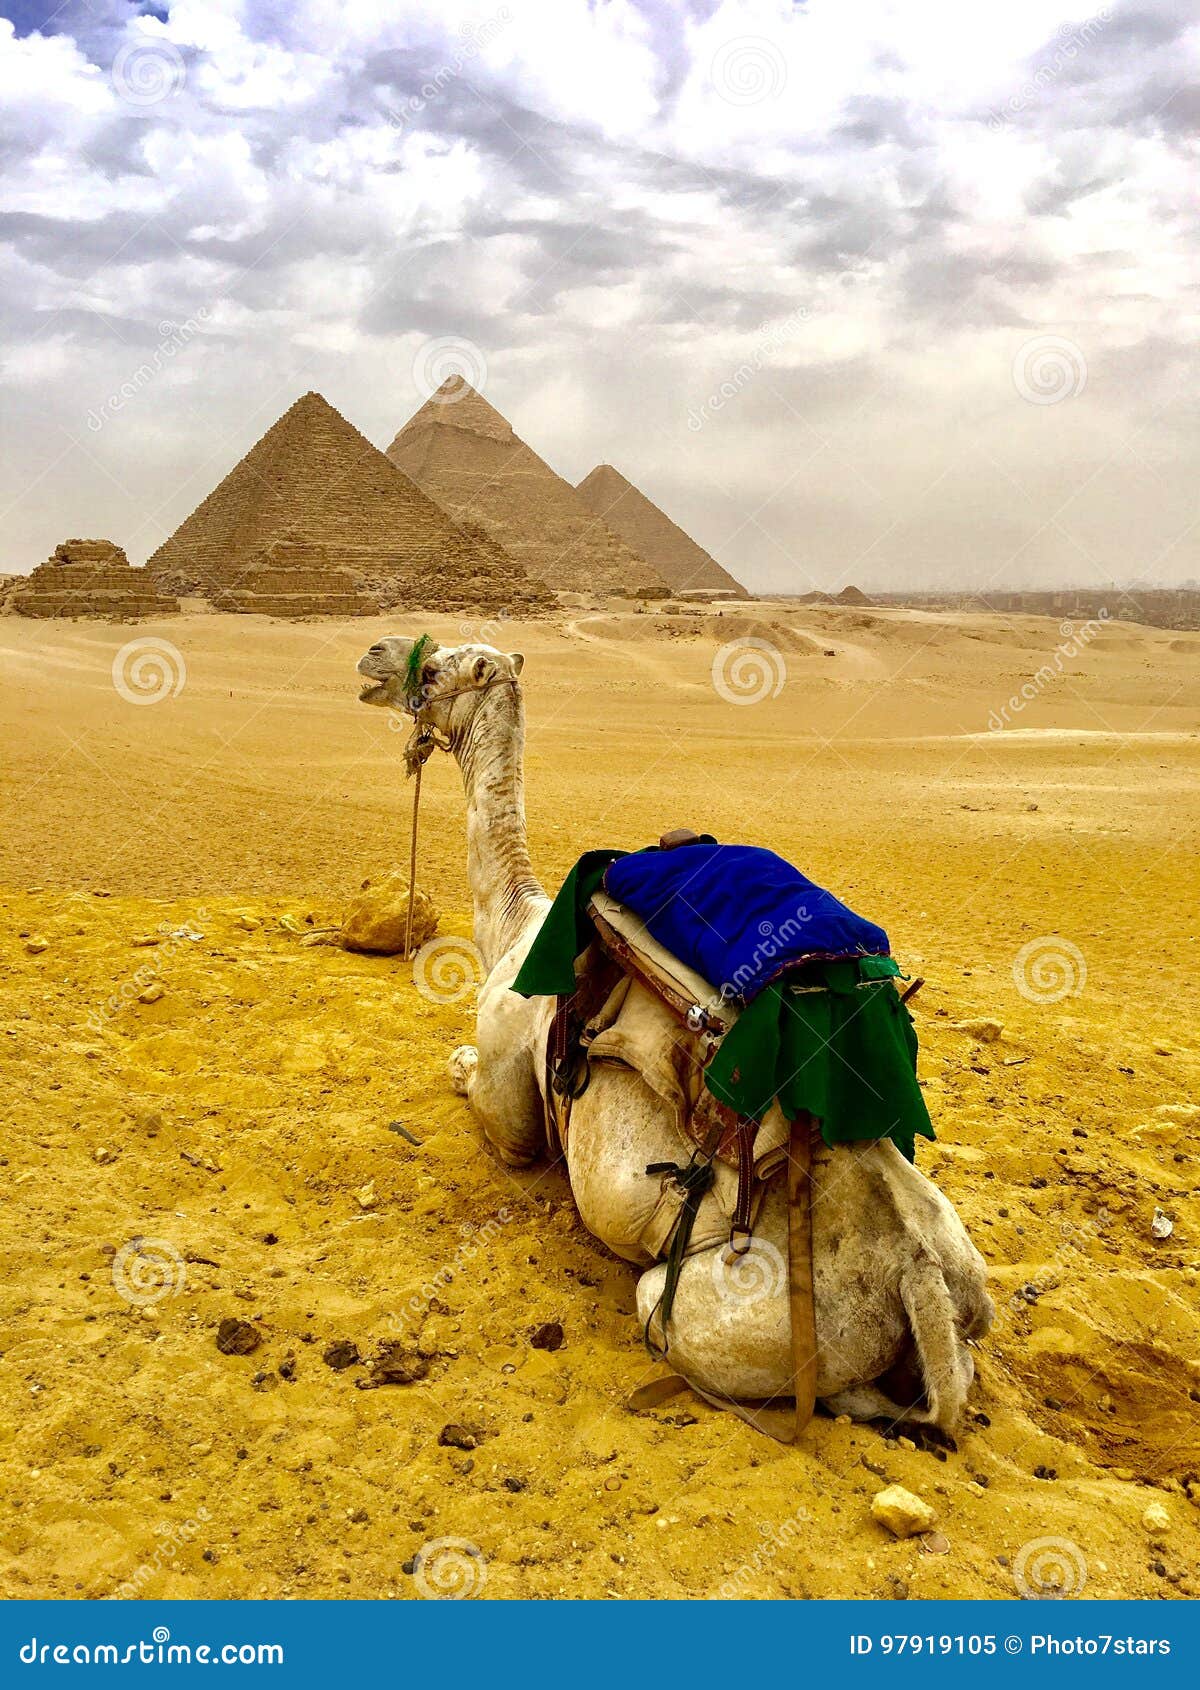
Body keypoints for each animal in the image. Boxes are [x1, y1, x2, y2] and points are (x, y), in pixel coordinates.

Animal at [357, 635, 993, 1433]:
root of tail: (921, 1277)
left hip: (711, 1309)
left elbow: (477, 1086)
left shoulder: (513, 1109)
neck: (515, 922)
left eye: (437, 667)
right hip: (964, 1286)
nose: (375, 657)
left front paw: (456, 1060)